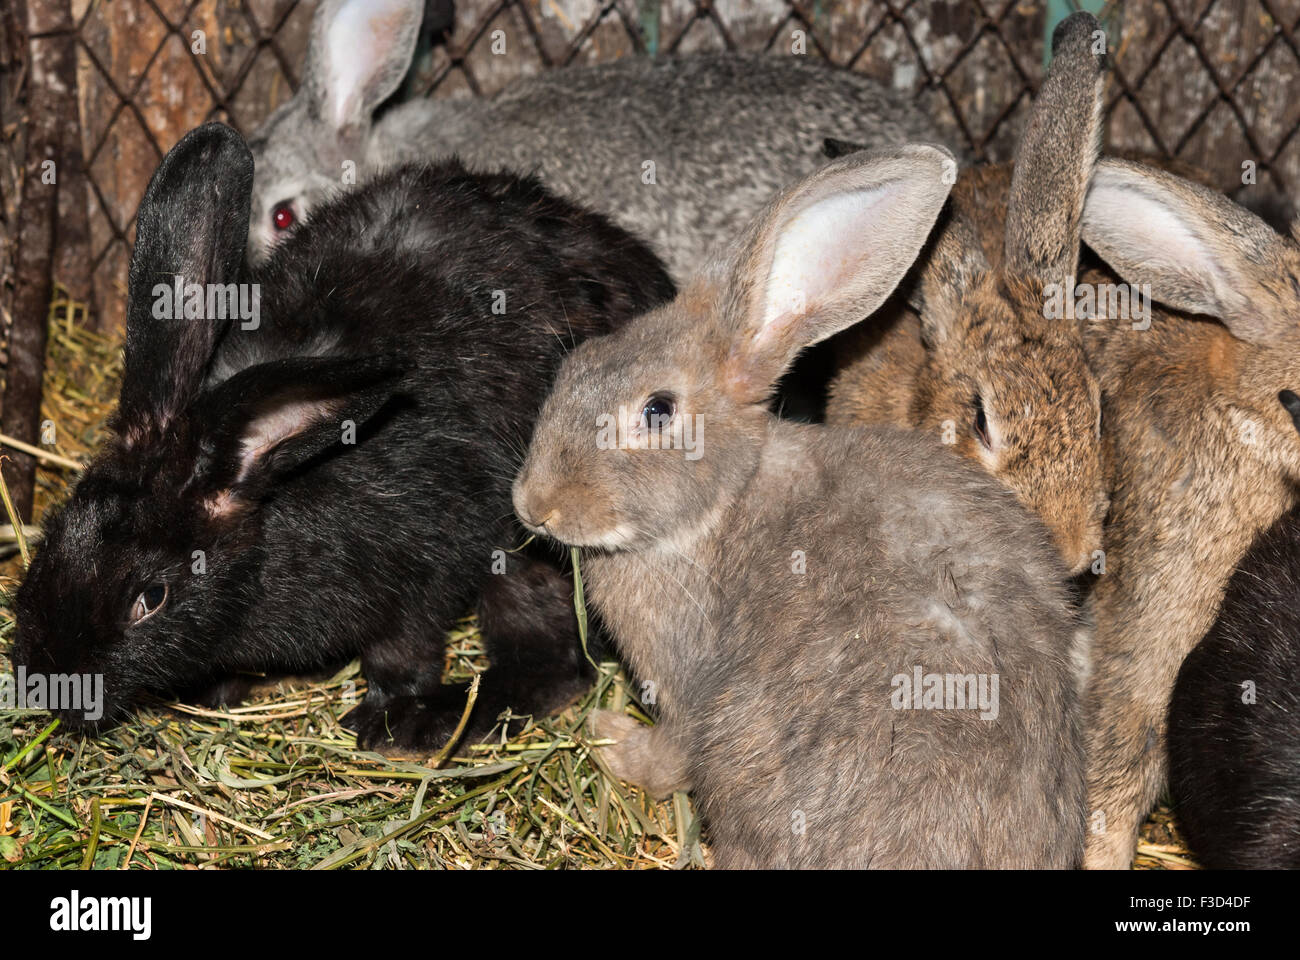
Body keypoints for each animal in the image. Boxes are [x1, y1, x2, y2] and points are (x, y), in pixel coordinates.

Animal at [10, 122, 675, 753]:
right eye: (51, 538)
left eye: (151, 598)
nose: (49, 687)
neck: (271, 475)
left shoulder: (430, 565)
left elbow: (403, 650)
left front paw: (387, 720)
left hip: (529, 545)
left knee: (556, 660)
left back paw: (447, 717)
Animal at [512, 142, 1090, 869]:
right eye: (574, 365)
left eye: (658, 410)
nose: (533, 505)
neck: (722, 506)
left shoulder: (686, 680)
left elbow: (672, 751)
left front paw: (610, 737)